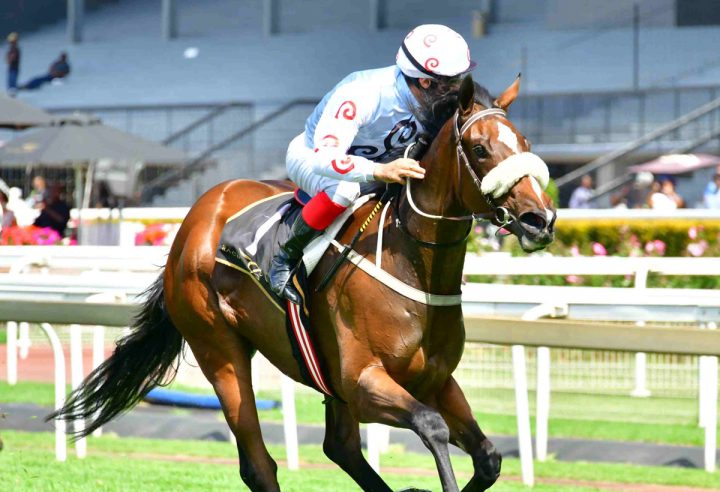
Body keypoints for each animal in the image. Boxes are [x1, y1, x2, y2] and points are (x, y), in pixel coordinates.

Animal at [51, 74, 555, 492]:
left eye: (525, 141)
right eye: (481, 149)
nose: (541, 219)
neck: (411, 264)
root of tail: (200, 213)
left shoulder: (433, 379)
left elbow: (488, 458)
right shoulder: (364, 382)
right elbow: (433, 426)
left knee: (341, 448)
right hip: (219, 349)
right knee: (260, 464)